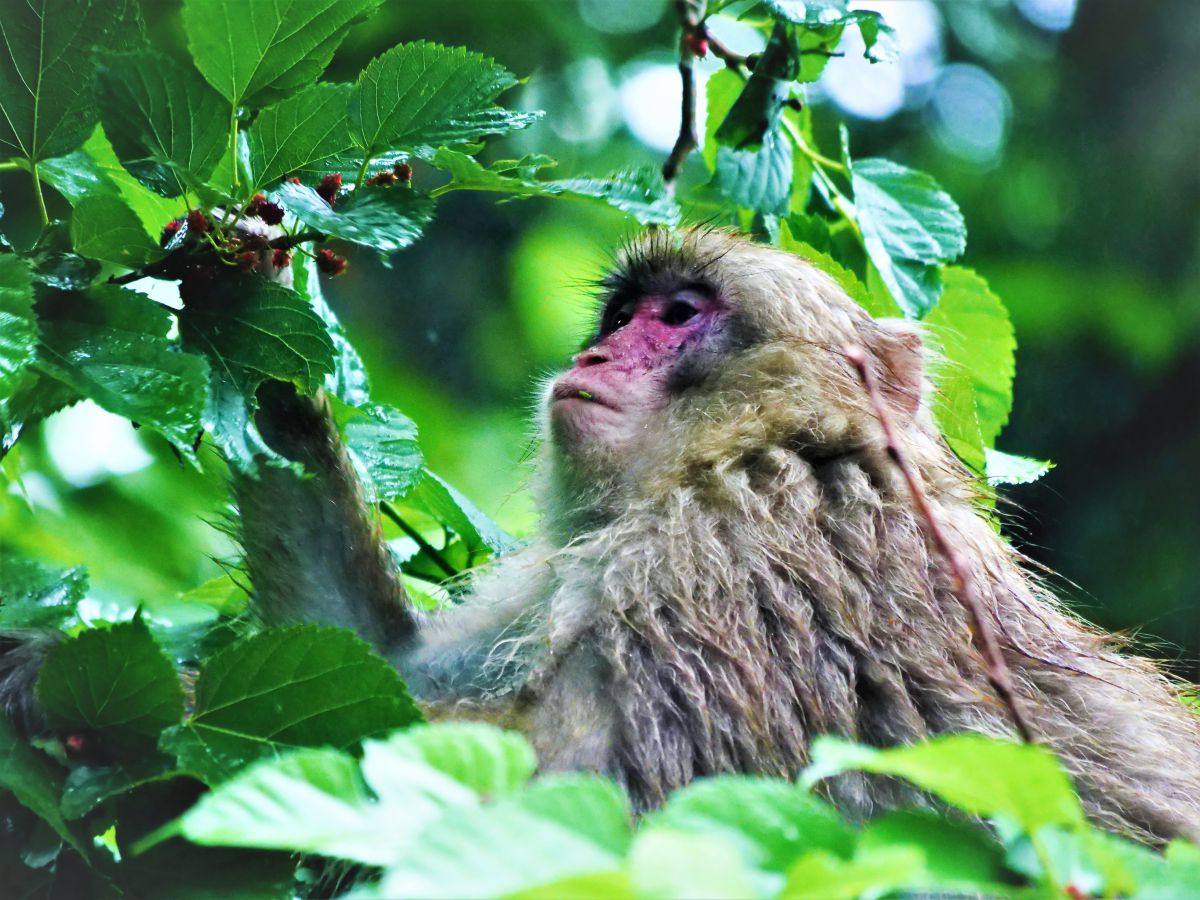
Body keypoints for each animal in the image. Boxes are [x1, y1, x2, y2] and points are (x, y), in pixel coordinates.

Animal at [5, 228, 1200, 846]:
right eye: (619, 315)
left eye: (677, 316)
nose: (592, 357)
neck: (737, 453)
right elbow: (371, 669)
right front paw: (244, 300)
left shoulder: (730, 559)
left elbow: (581, 796)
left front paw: (114, 708)